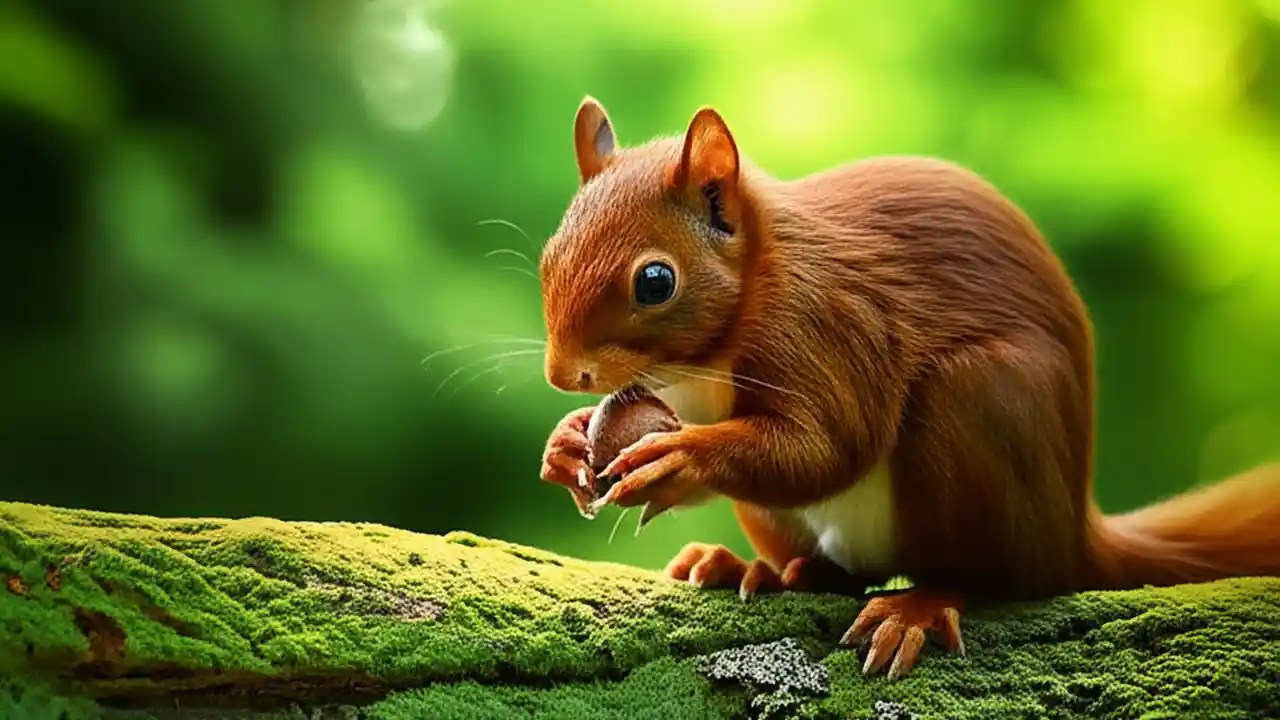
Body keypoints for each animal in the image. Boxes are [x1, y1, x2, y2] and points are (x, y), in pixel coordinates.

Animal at [536, 96, 1280, 679]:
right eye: (548, 258)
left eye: (655, 282)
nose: (561, 374)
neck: (704, 362)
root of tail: (1073, 533)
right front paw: (568, 444)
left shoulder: (828, 322)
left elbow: (827, 446)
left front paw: (680, 457)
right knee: (837, 571)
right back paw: (758, 571)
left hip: (979, 402)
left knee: (994, 580)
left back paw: (921, 605)